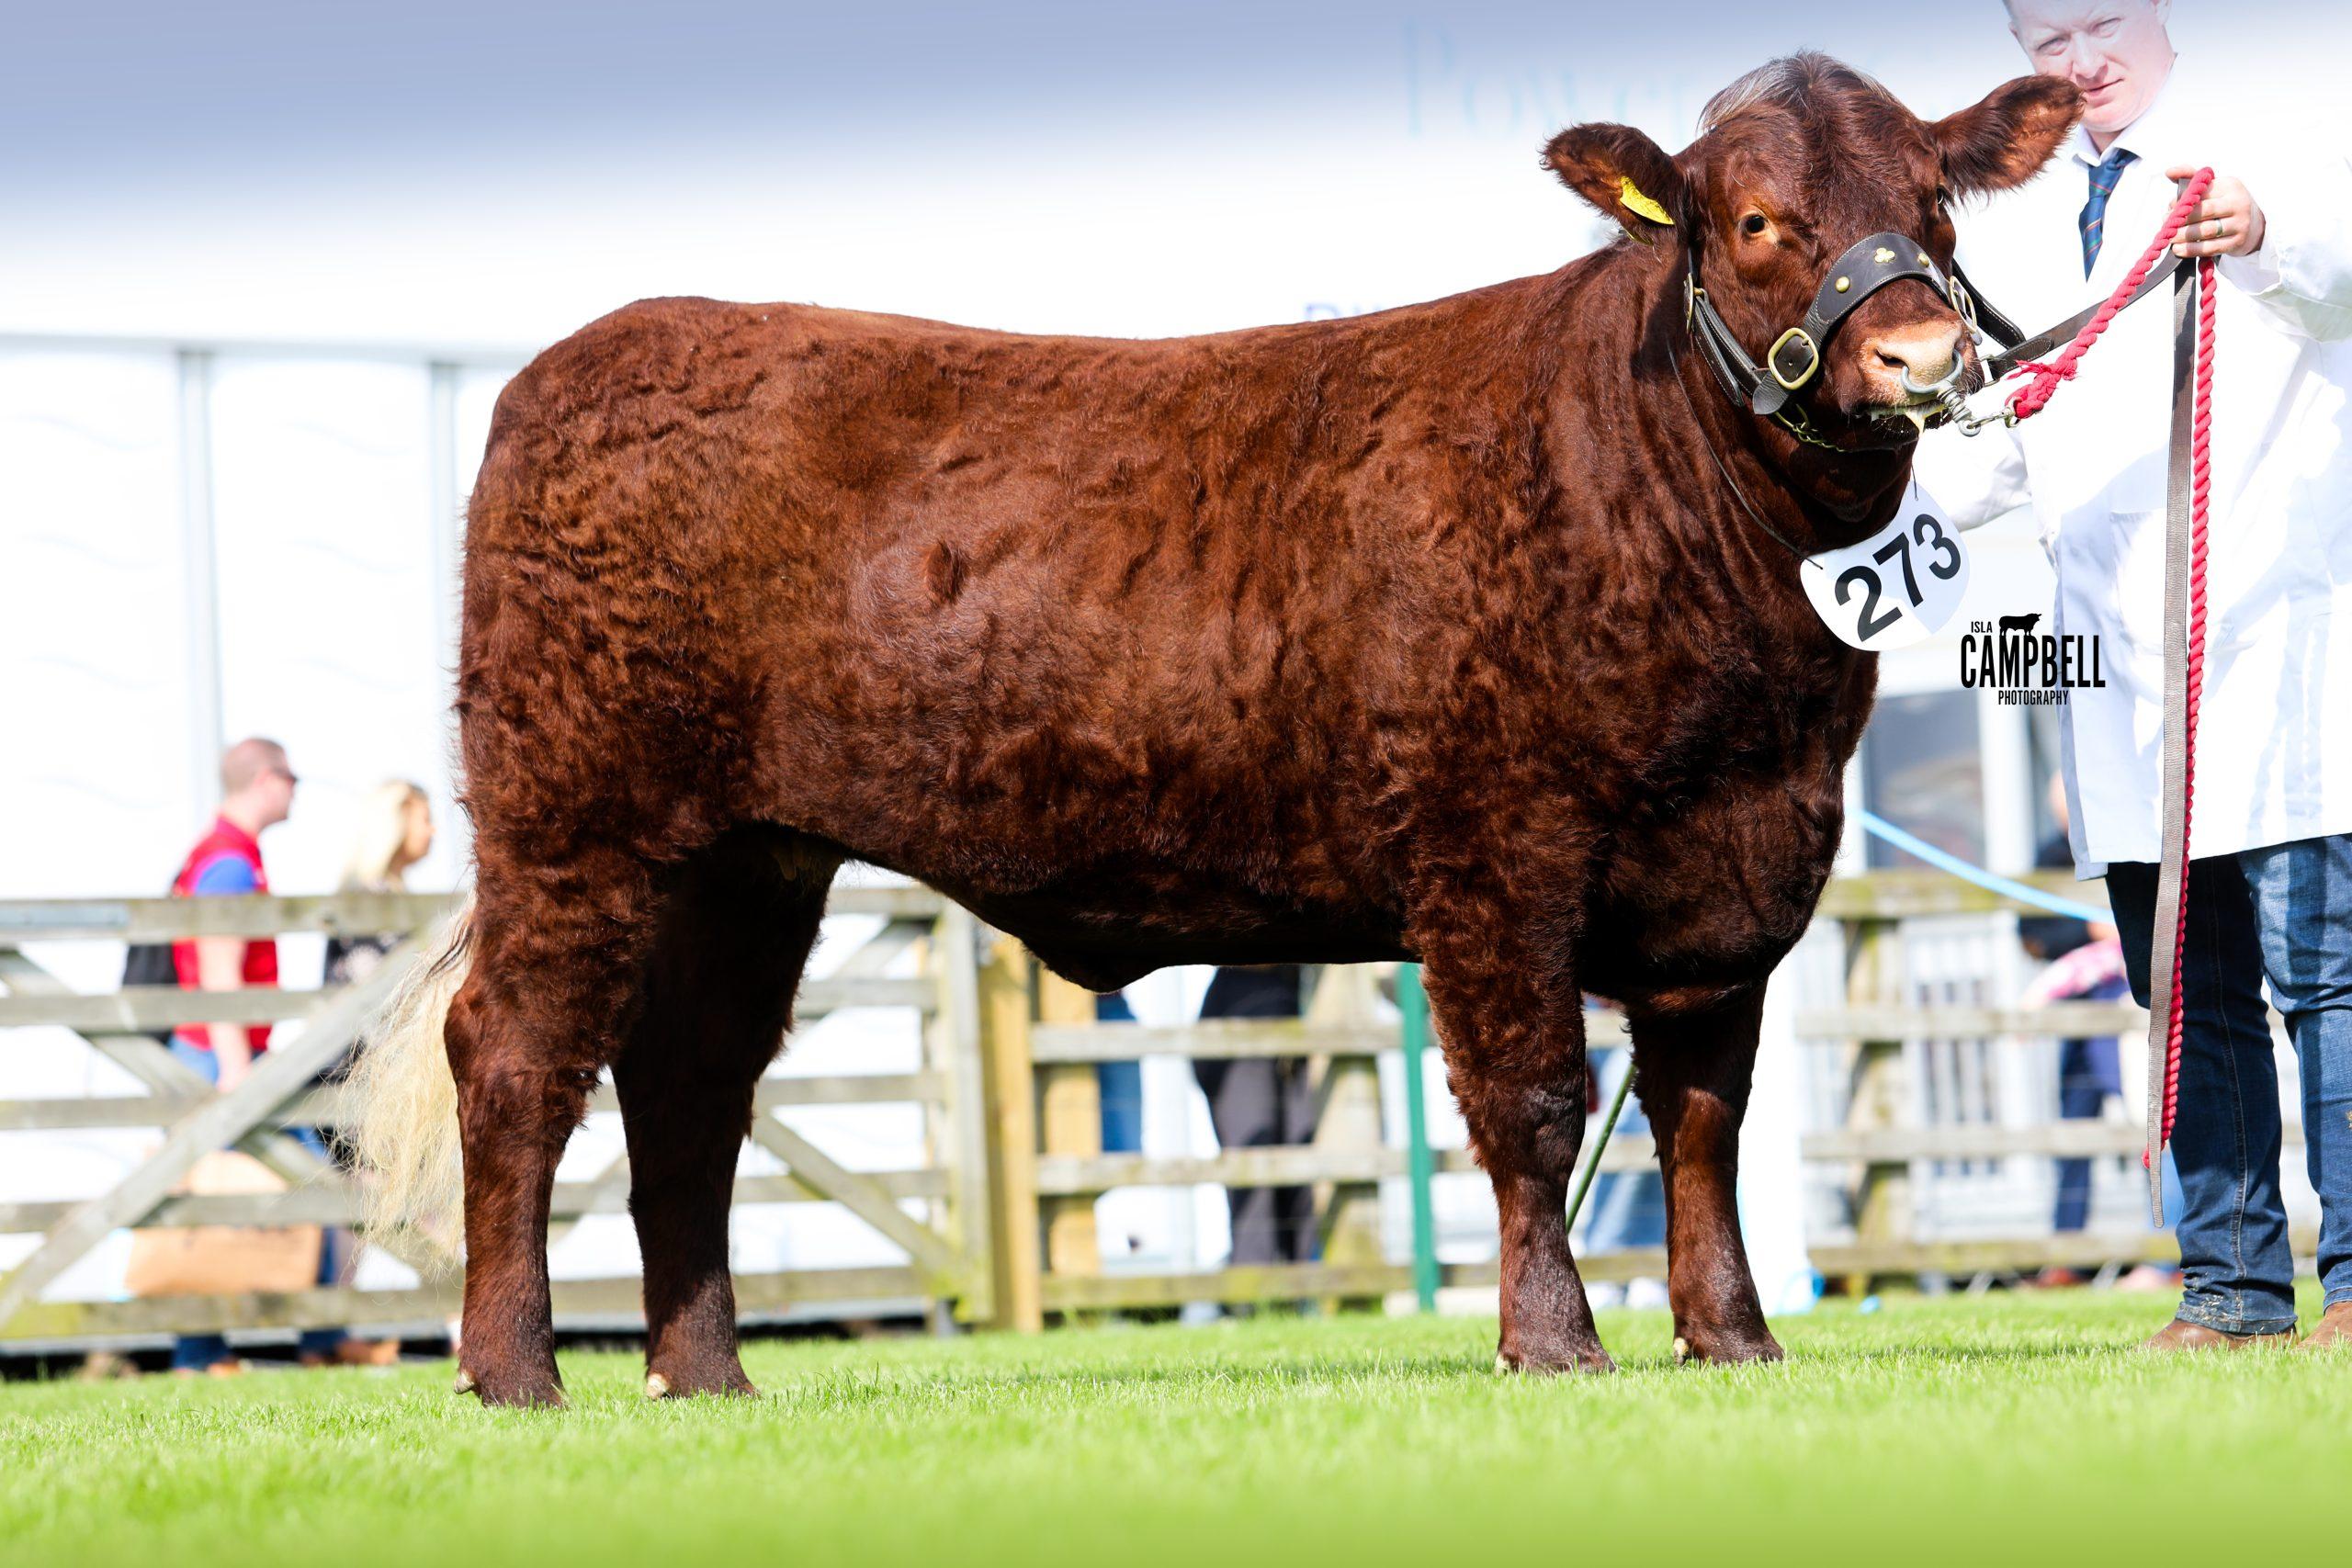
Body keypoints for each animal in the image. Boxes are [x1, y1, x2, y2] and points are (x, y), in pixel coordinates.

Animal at [353, 54, 2080, 1406]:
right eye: (1759, 220)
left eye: (1937, 207)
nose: (1922, 355)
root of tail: (591, 354)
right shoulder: (1495, 844)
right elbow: (1531, 1102)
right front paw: (1553, 1342)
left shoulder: (1735, 868)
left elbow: (1703, 1113)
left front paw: (1733, 1340)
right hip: (573, 817)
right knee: (517, 1057)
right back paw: (514, 1369)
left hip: (748, 858)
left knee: (690, 1082)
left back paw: (704, 1369)